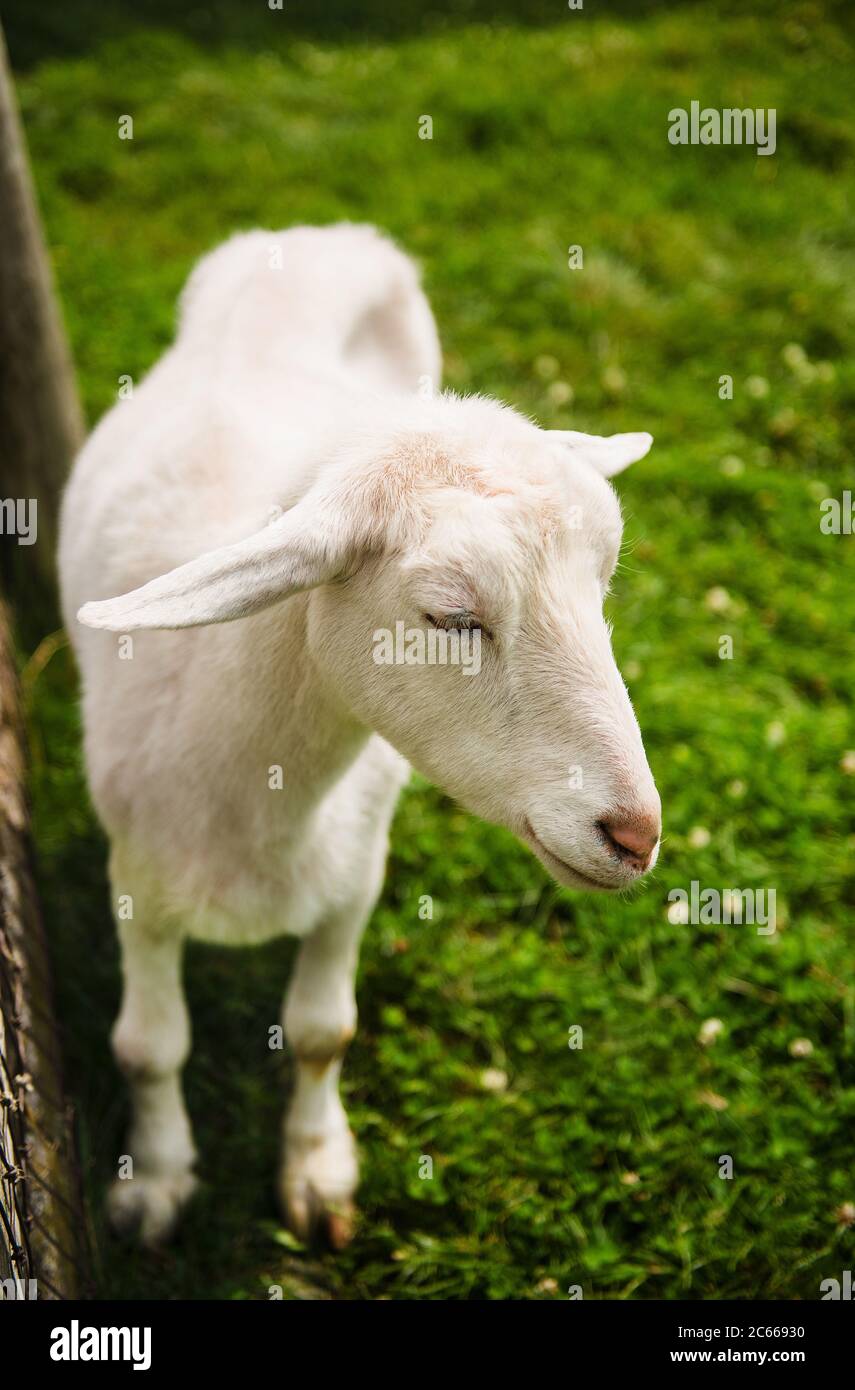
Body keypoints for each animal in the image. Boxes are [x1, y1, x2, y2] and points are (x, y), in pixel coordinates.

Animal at [59, 224, 661, 1247]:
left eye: (604, 583)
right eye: (451, 615)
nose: (634, 832)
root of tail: (317, 236)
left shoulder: (354, 875)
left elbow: (320, 1032)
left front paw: (316, 1170)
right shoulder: (136, 879)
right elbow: (148, 1046)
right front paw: (158, 1180)